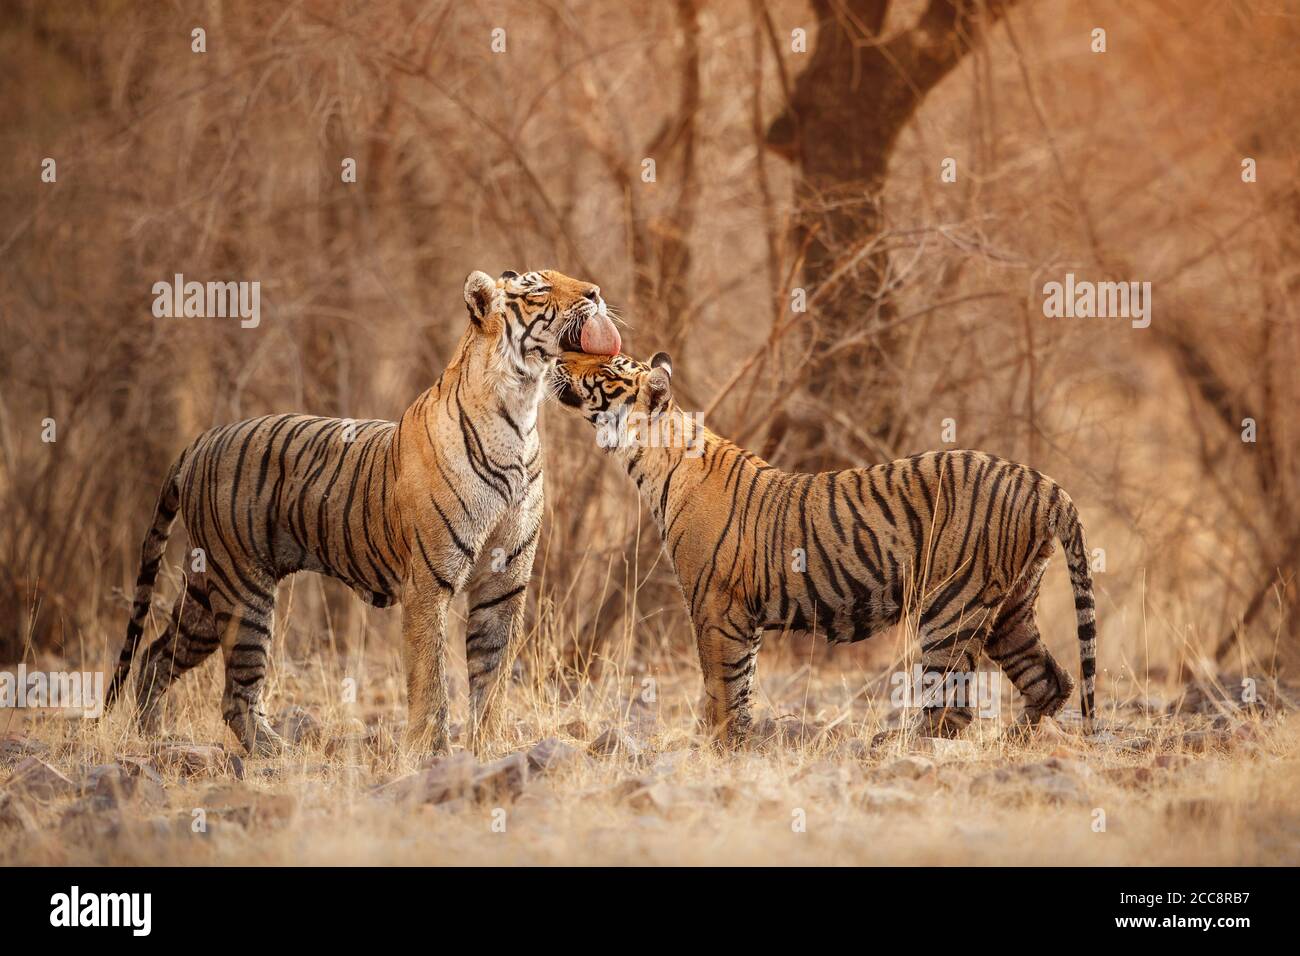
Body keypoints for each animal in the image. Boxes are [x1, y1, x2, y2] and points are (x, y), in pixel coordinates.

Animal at [105, 269, 621, 757]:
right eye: (538, 290)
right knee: (235, 693)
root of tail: (201, 441)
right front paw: (430, 752)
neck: (520, 411)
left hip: (205, 590)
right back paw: (281, 755)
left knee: (155, 657)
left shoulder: (504, 583)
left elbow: (491, 677)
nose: (597, 293)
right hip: (242, 590)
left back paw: (152, 739)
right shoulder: (427, 583)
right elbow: (431, 677)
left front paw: (488, 749)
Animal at [551, 350, 1097, 745]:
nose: (558, 359)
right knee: (1051, 680)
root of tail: (1043, 482)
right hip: (1010, 609)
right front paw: (739, 745)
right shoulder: (743, 618)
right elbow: (740, 689)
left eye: (605, 369)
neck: (653, 459)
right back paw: (1015, 743)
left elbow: (721, 690)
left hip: (952, 604)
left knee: (953, 705)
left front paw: (717, 748)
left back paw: (896, 747)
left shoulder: (715, 609)